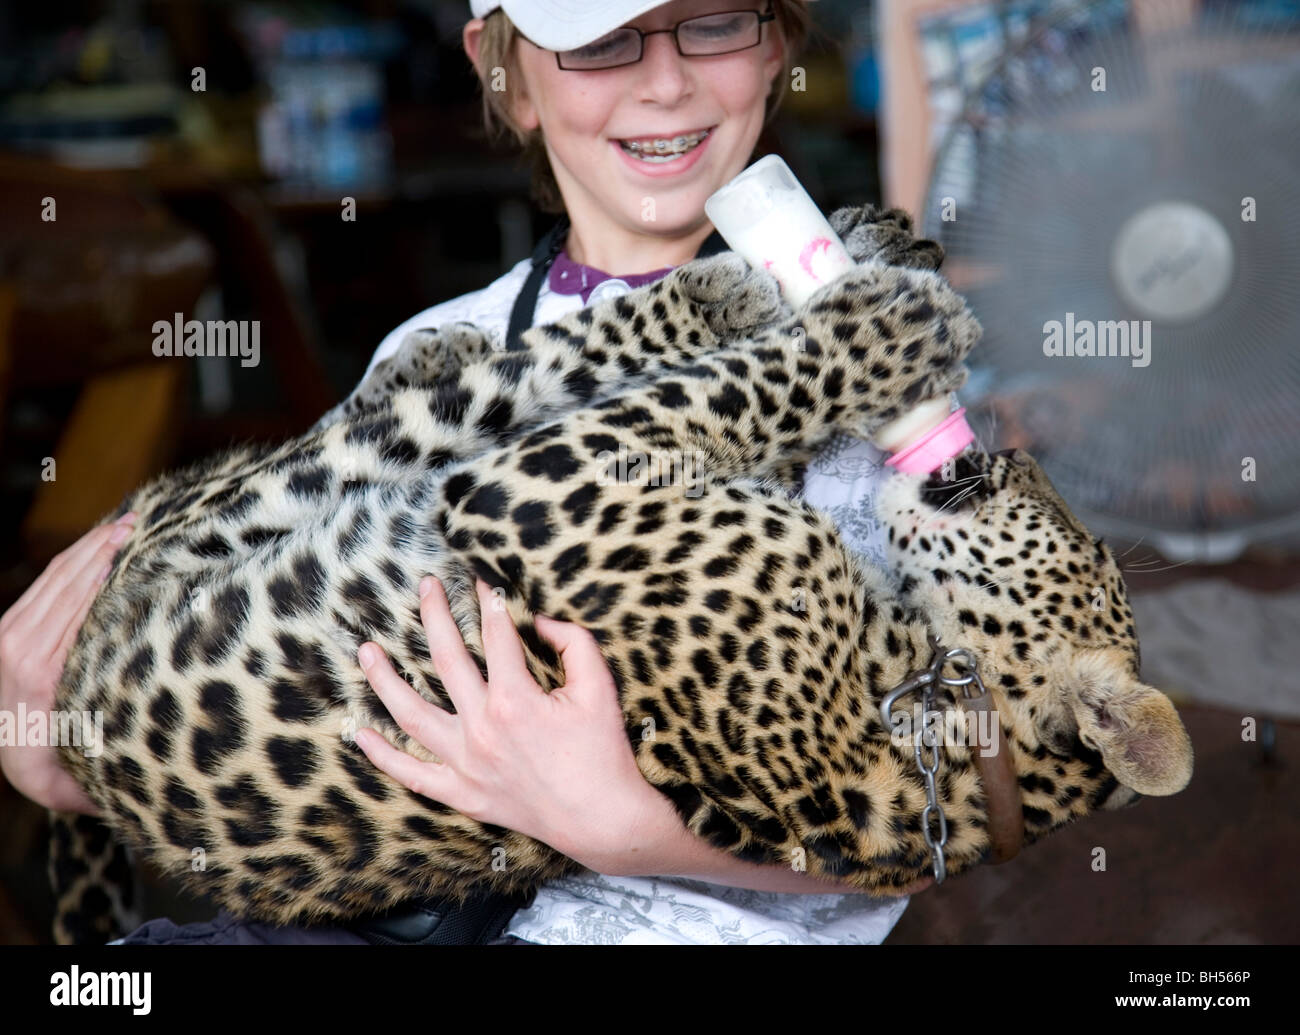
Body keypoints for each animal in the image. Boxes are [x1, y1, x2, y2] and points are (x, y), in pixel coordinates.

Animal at [46, 205, 1193, 944]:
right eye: (1080, 530)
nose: (1013, 455)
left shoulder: (543, 490)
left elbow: (745, 389)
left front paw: (870, 327)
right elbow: (744, 403)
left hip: (283, 501)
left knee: (497, 384)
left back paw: (752, 293)